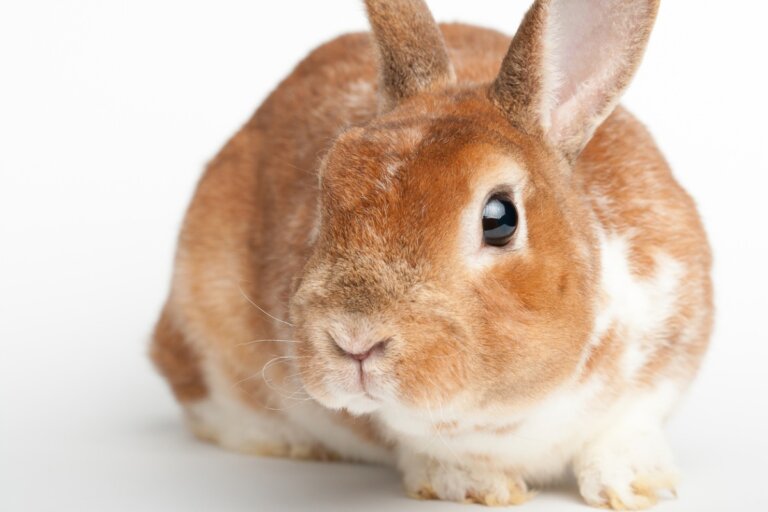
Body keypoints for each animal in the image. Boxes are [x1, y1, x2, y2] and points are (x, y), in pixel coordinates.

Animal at [150, 0, 712, 508]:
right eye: (326, 186)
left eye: (500, 218)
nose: (355, 339)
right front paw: (480, 488)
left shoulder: (661, 369)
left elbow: (621, 436)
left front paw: (635, 486)